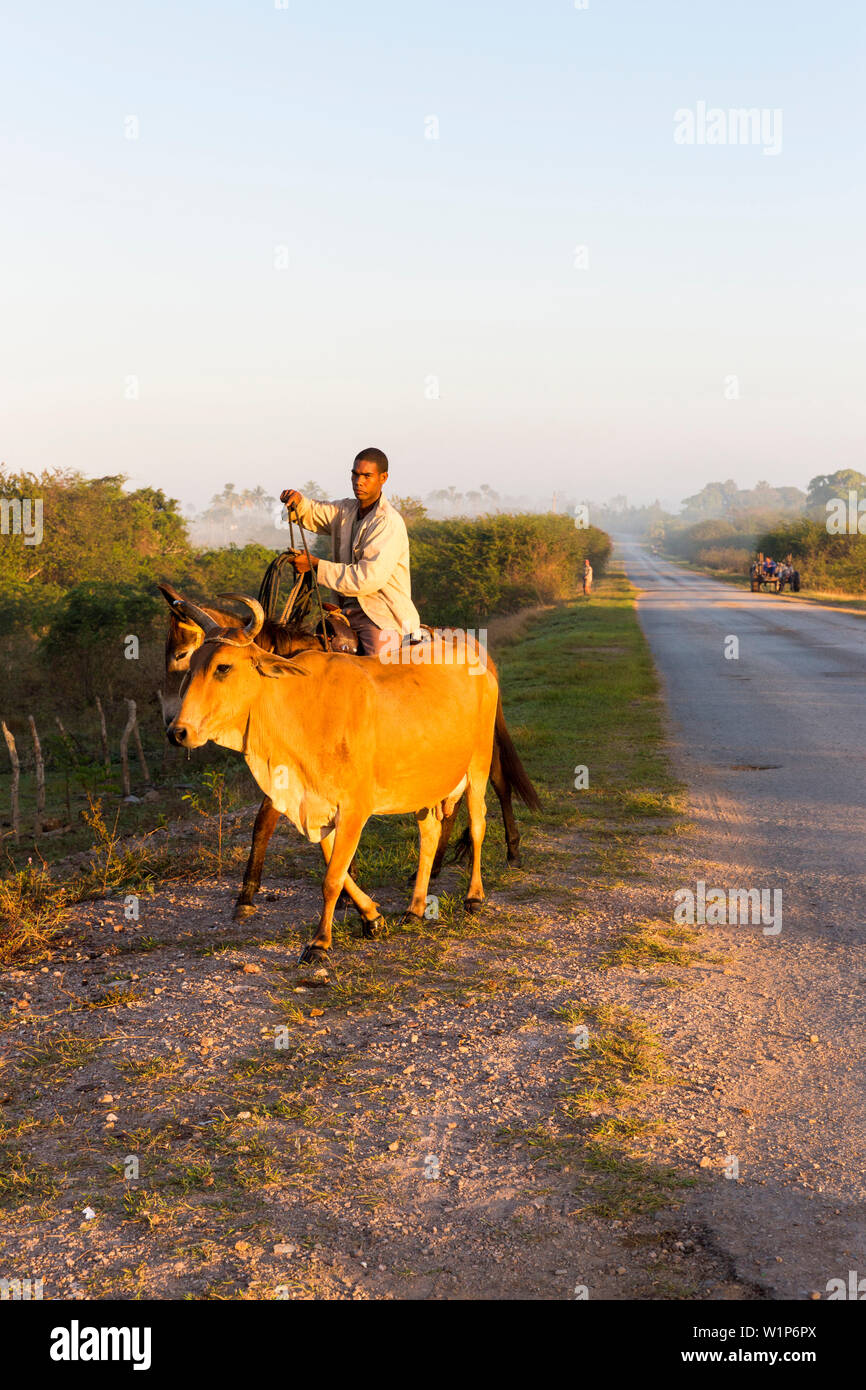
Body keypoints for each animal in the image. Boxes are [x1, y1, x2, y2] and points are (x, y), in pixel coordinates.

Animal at [158, 582, 539, 921]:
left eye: (221, 666)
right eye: (190, 662)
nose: (176, 730)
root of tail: (476, 653)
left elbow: (274, 830)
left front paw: (248, 897)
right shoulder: (303, 790)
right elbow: (320, 854)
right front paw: (362, 910)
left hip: (480, 753)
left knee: (486, 804)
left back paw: (493, 873)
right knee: (440, 816)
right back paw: (427, 885)